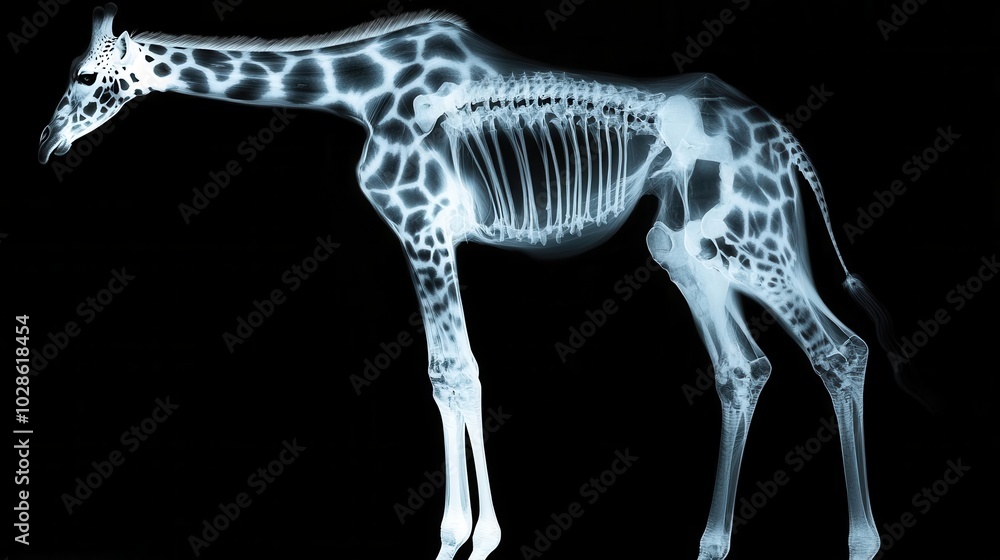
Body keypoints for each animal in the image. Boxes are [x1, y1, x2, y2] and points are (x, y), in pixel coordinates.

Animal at [38, 4, 887, 559]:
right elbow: (451, 372)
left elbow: (454, 374)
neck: (356, 91)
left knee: (838, 348)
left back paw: (862, 541)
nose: (46, 142)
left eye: (84, 76)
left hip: (754, 232)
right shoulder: (429, 235)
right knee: (746, 367)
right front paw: (469, 534)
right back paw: (711, 543)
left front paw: (465, 538)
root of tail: (782, 137)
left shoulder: (423, 228)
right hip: (687, 245)